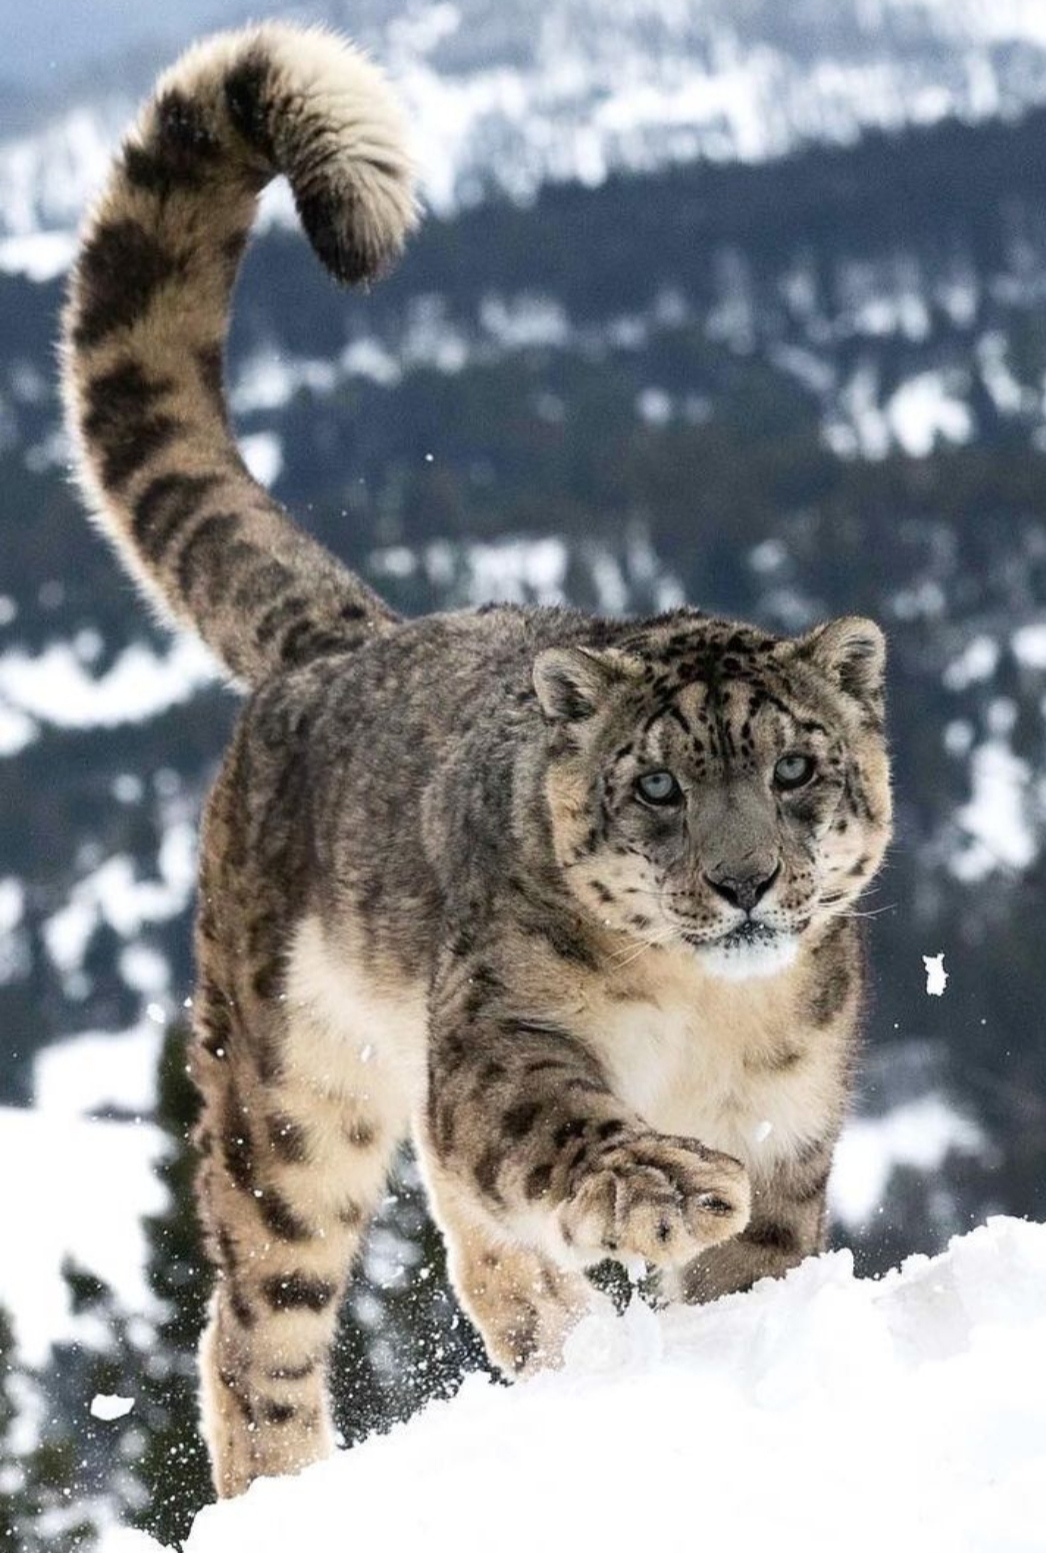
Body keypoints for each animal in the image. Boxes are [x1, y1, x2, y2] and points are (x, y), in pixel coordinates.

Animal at [61, 21, 892, 1500]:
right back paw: (289, 1482)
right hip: (287, 1088)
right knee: (261, 1317)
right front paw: (666, 1187)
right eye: (659, 783)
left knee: (457, 1217)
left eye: (793, 770)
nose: (743, 883)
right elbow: (548, 1123)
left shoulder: (793, 1126)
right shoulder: (504, 1028)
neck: (704, 1022)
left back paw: (549, 1328)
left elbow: (754, 1260)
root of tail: (341, 640)